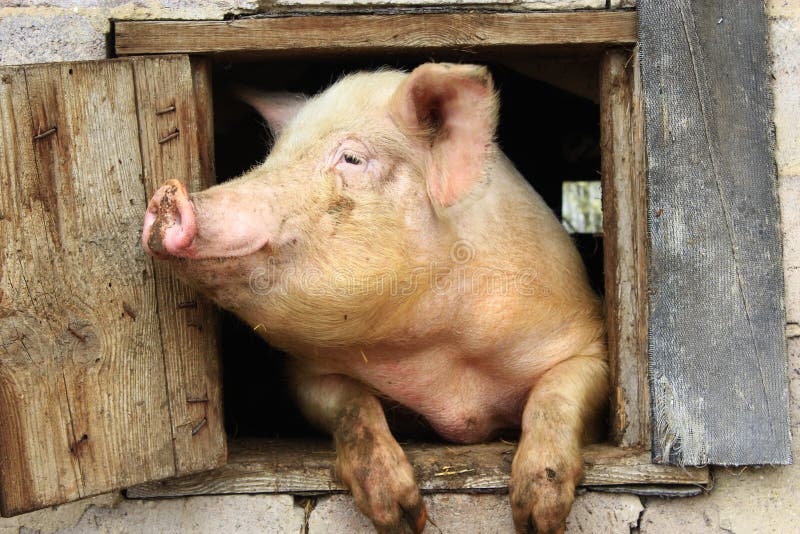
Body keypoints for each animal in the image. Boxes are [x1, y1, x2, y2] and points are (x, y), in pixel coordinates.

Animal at [141, 63, 608, 534]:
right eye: (273, 157)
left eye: (351, 159)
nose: (168, 195)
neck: (440, 361)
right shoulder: (306, 374)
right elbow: (352, 406)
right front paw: (402, 517)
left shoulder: (587, 339)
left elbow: (554, 396)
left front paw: (538, 517)